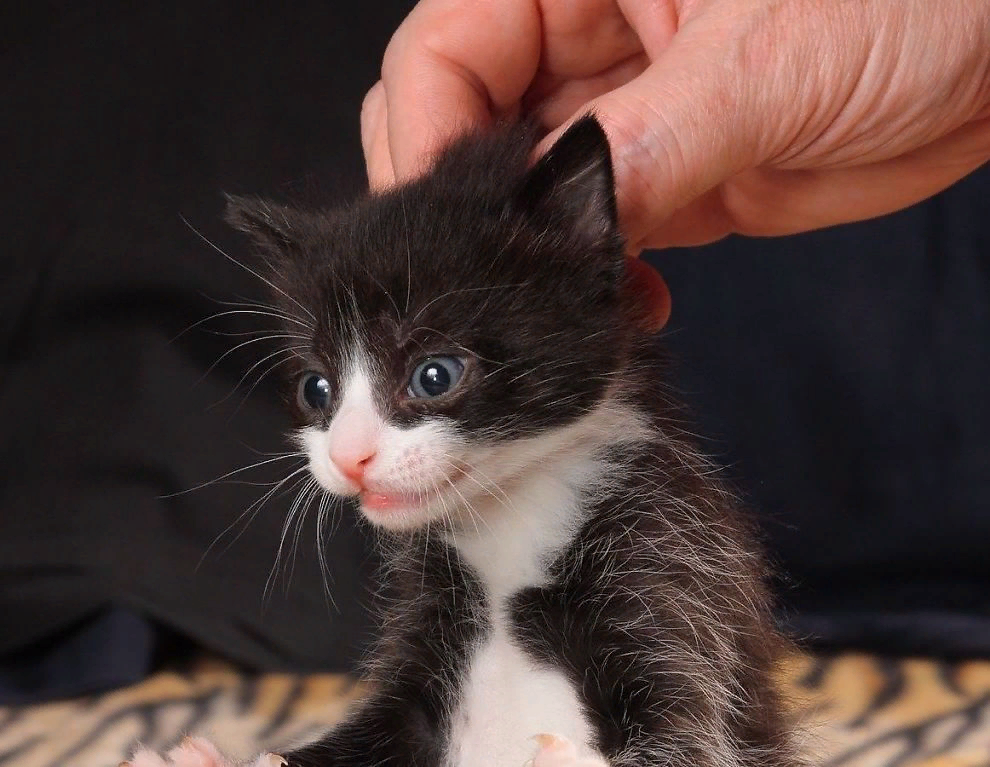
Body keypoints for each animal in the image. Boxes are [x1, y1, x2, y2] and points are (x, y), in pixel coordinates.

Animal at [130, 117, 800, 767]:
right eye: (315, 389)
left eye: (434, 375)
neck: (512, 522)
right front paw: (205, 761)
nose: (349, 457)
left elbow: (683, 740)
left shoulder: (675, 581)